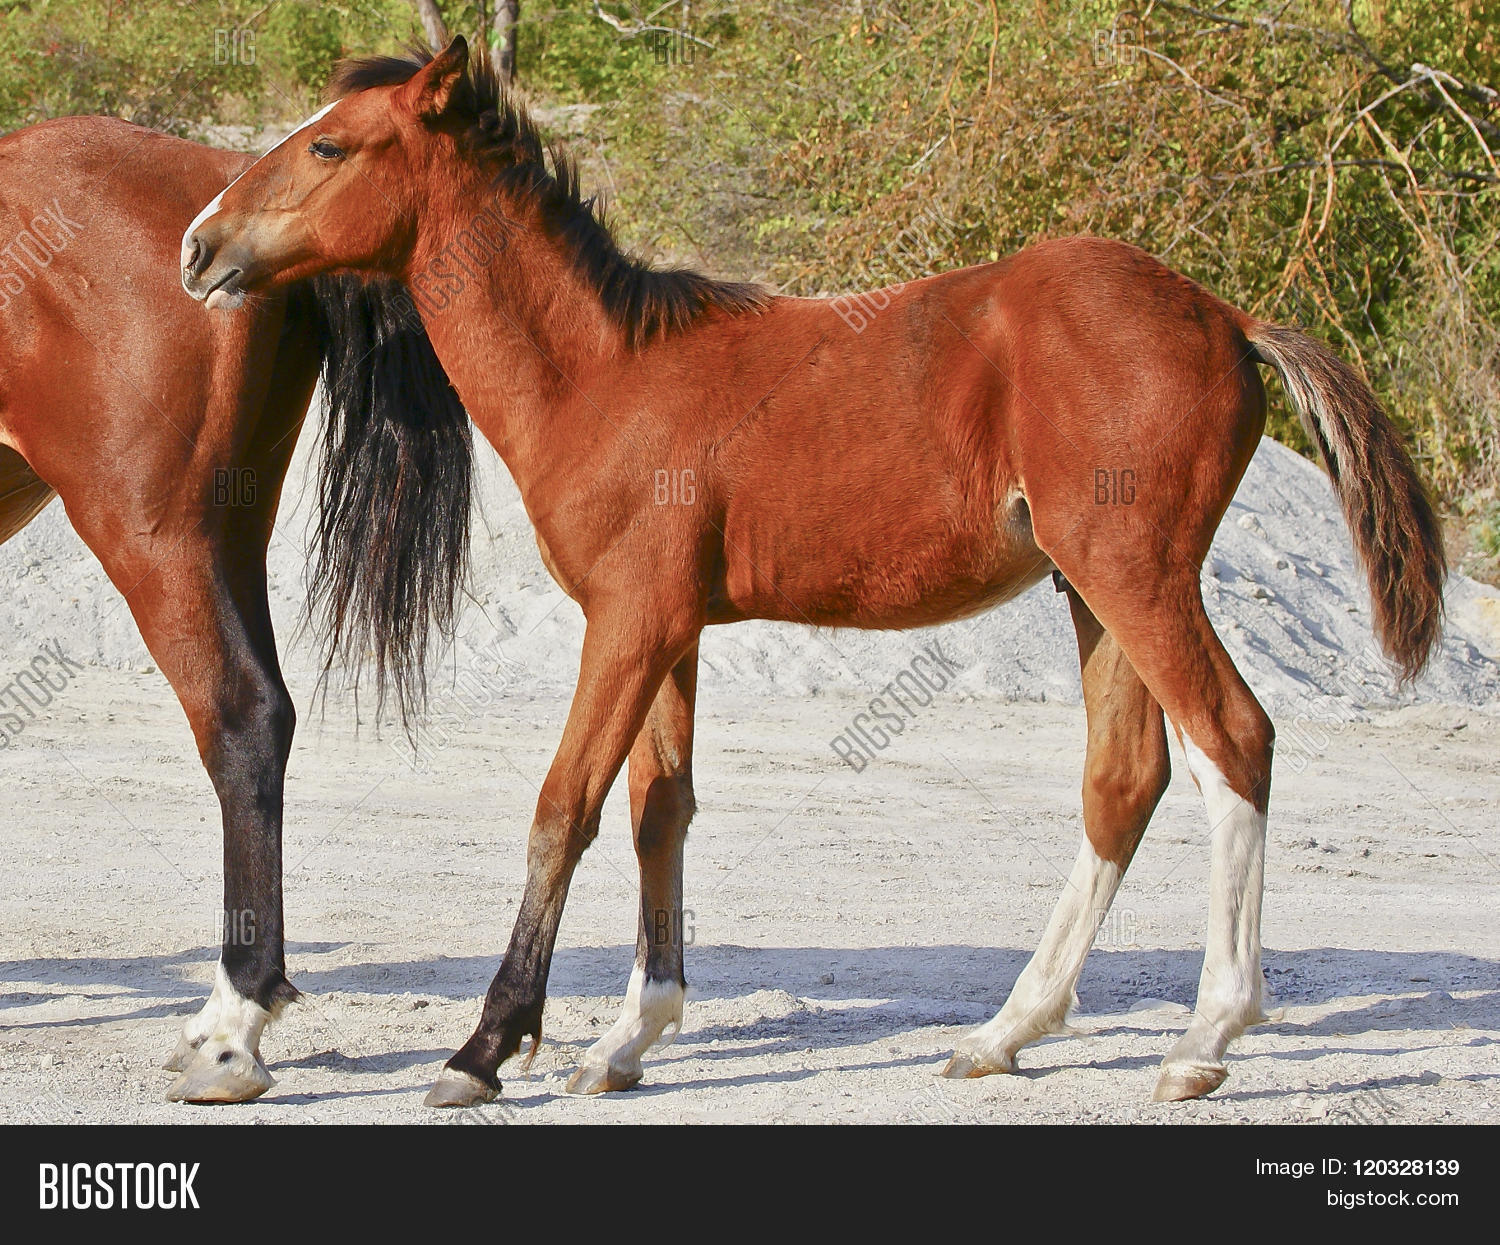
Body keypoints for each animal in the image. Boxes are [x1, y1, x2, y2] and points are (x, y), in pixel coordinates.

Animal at [181, 38, 1446, 1108]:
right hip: (1092, 591)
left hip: (1138, 575)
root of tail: (1227, 315)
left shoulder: (627, 621)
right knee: (1123, 781)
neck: (603, 377)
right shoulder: (671, 626)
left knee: (1234, 741)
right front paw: (628, 1040)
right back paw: (1004, 1033)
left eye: (330, 146)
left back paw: (1204, 1037)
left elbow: (564, 808)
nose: (200, 246)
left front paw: (485, 1047)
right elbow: (659, 810)